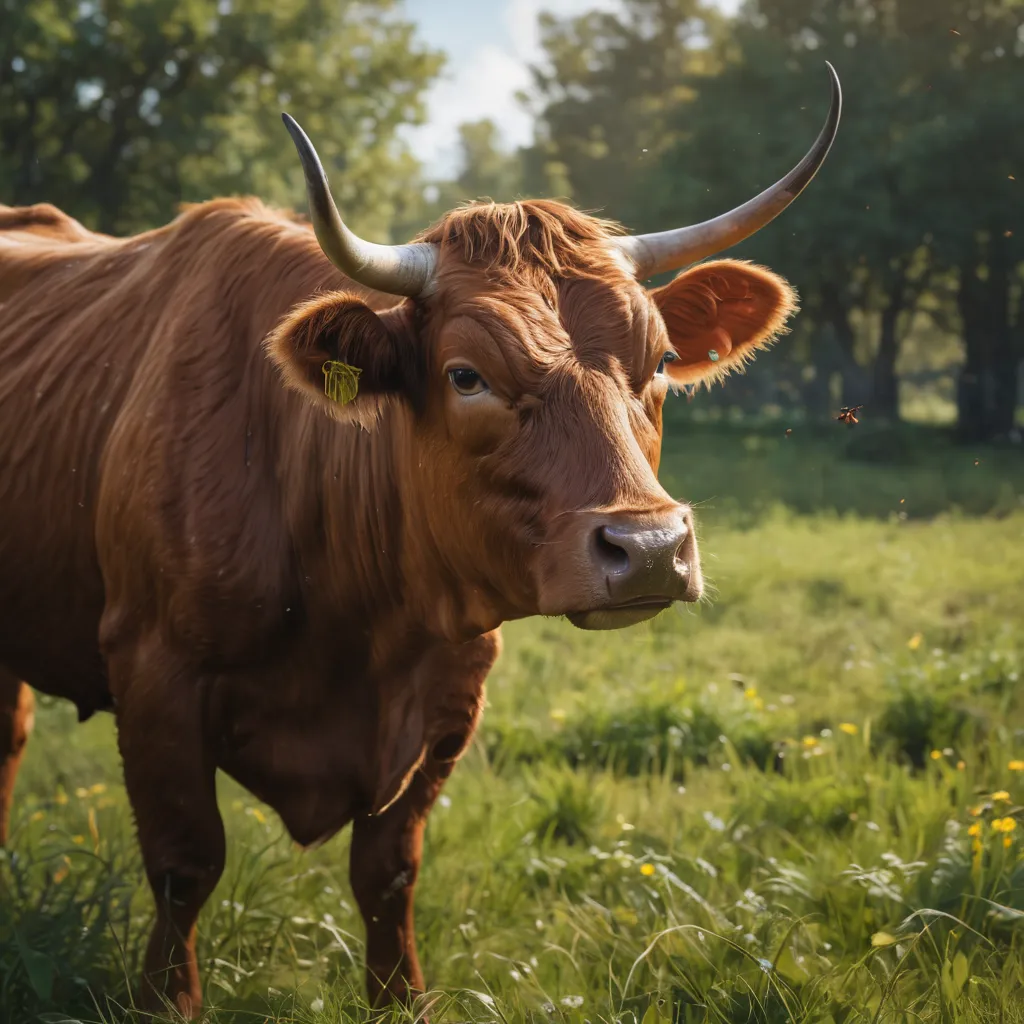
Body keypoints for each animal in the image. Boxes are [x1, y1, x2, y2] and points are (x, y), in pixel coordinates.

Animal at [0, 64, 840, 1018]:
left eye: (659, 361)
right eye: (465, 376)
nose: (651, 546)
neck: (352, 618)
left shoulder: (446, 695)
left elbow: (388, 872)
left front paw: (400, 999)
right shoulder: (154, 672)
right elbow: (185, 864)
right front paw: (168, 1001)